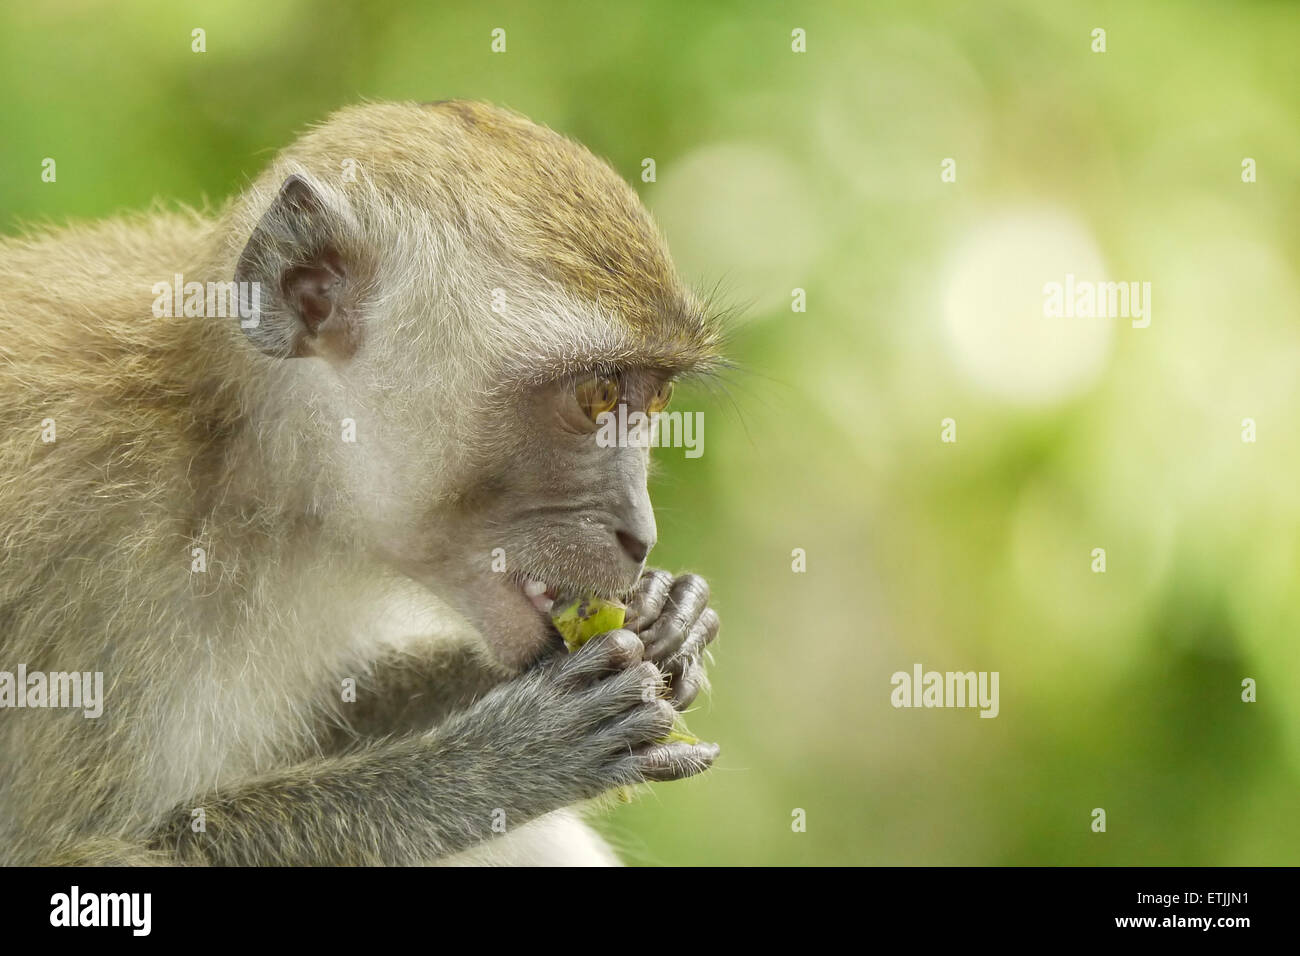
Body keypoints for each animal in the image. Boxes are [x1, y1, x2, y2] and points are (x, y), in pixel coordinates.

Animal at [0, 100, 725, 866]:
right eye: (596, 394)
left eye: (656, 399)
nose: (641, 535)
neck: (239, 454)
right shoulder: (95, 558)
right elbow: (81, 855)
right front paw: (493, 765)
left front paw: (664, 623)